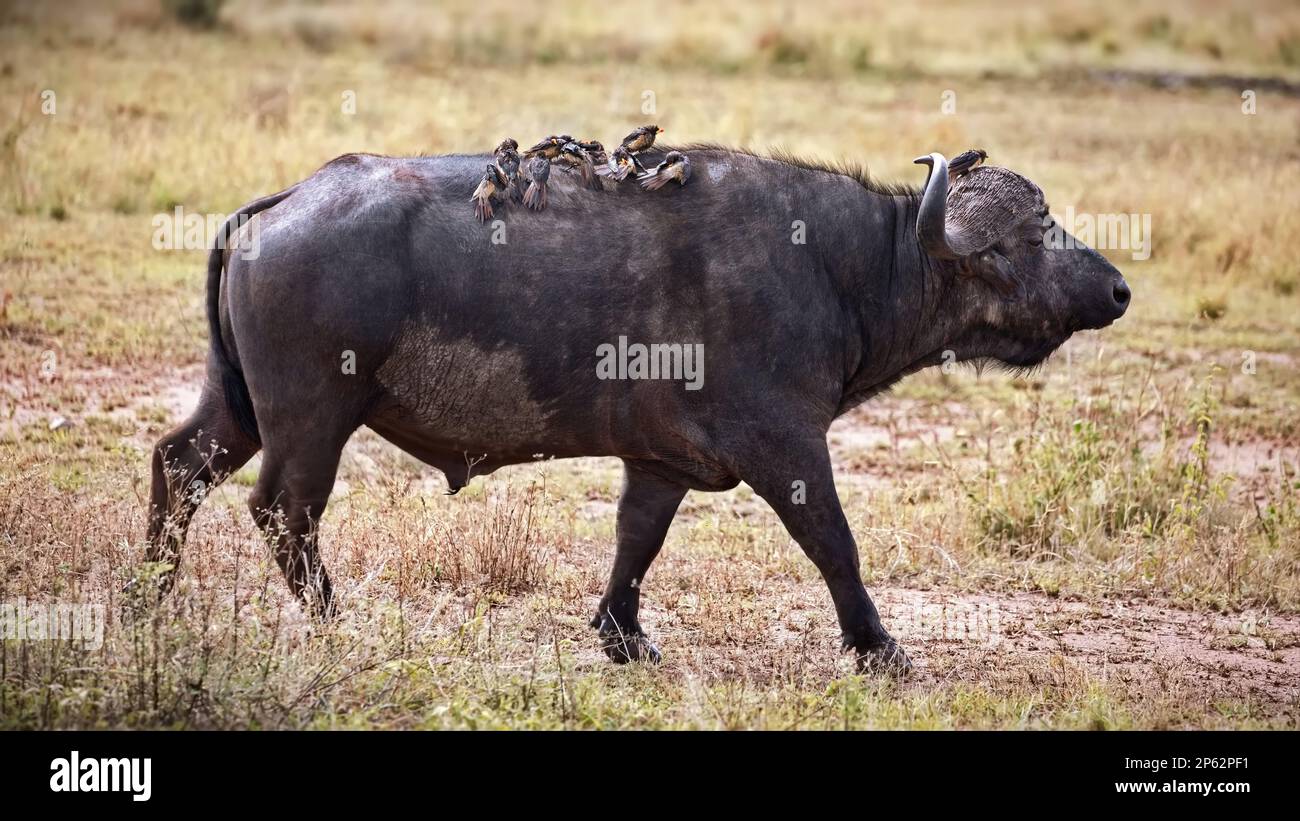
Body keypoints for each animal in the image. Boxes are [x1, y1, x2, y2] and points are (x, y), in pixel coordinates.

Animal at [144, 146, 1129, 673]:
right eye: (1031, 235)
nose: (1118, 288)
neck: (838, 265)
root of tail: (282, 203)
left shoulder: (659, 464)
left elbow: (636, 541)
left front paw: (623, 635)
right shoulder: (786, 446)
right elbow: (834, 544)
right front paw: (878, 645)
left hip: (239, 409)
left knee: (177, 463)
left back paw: (149, 593)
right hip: (312, 418)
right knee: (284, 509)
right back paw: (330, 618)